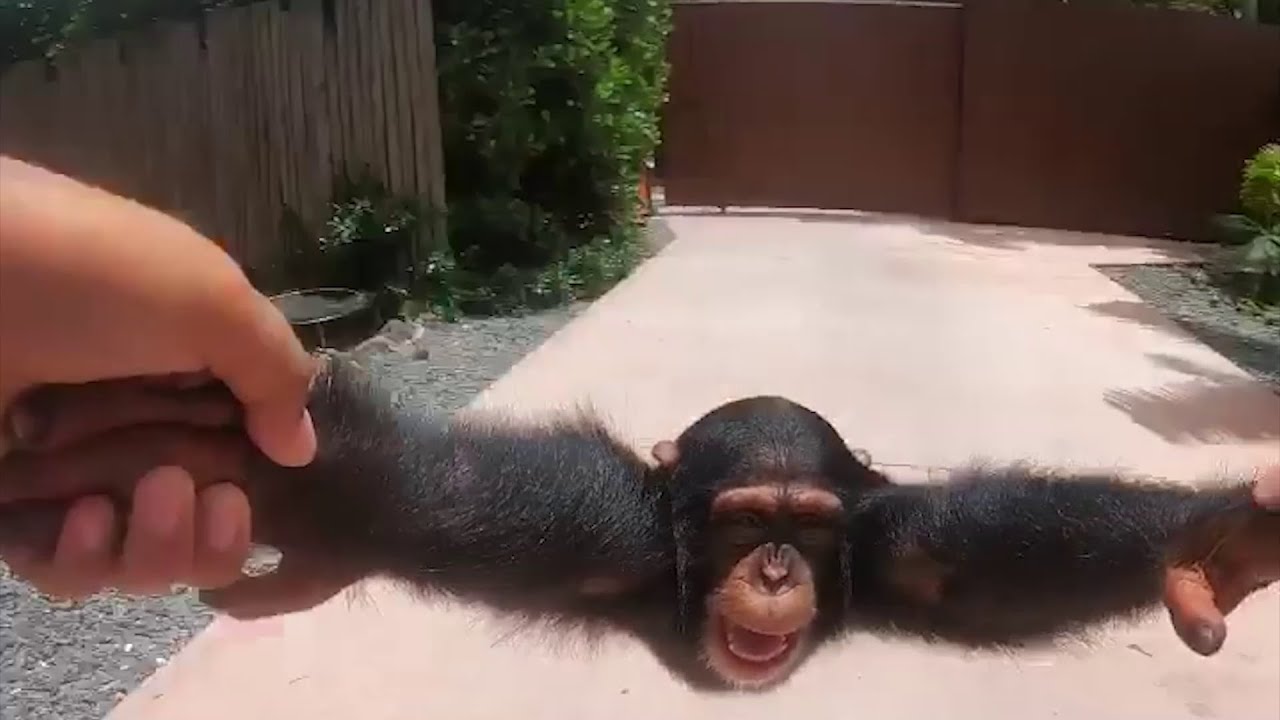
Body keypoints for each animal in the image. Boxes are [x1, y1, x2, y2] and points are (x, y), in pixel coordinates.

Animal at [0, 356, 1275, 694]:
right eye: (743, 525)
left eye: (810, 531)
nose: (777, 567)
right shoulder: (591, 527)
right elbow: (417, 492)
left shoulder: (895, 550)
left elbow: (982, 565)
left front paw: (1217, 540)